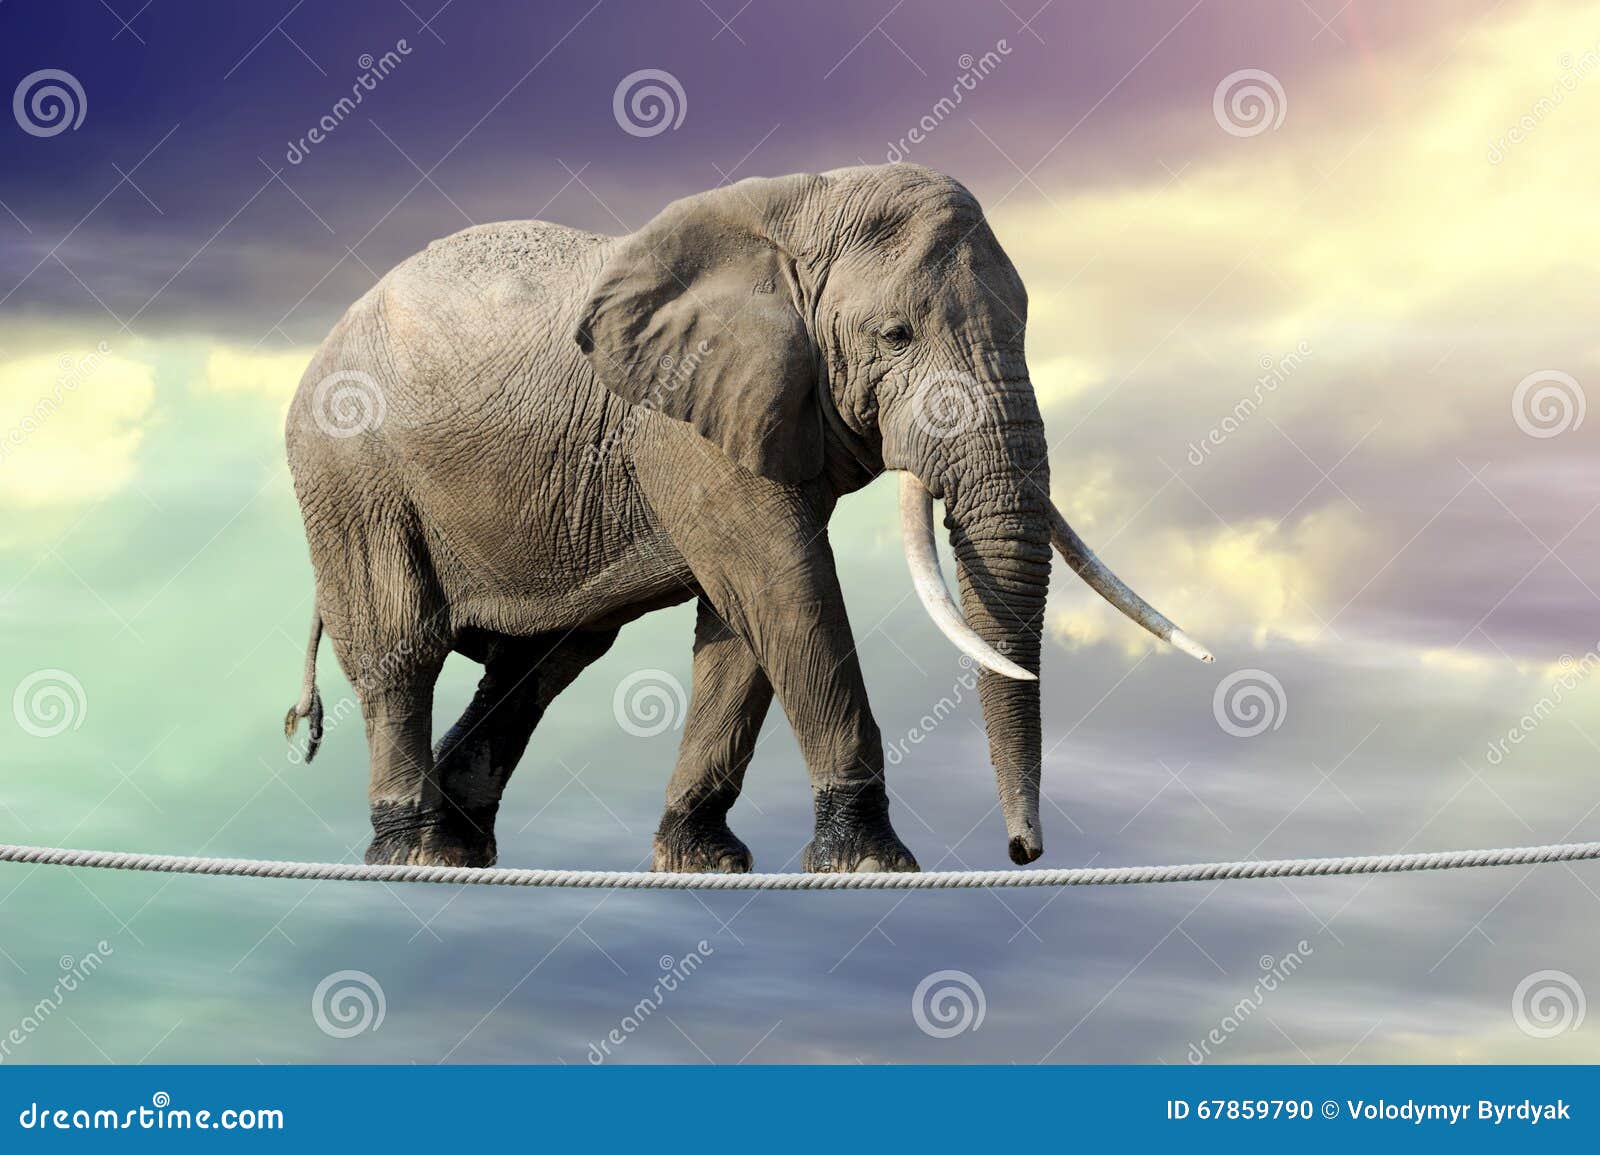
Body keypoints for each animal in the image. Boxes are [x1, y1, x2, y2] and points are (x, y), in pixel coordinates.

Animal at [281, 163, 1210, 873]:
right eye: (897, 335)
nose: (1023, 851)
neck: (803, 206)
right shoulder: (683, 417)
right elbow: (783, 581)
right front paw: (870, 861)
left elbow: (743, 619)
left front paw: (699, 859)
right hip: (349, 474)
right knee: (402, 648)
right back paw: (413, 850)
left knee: (544, 659)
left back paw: (461, 846)